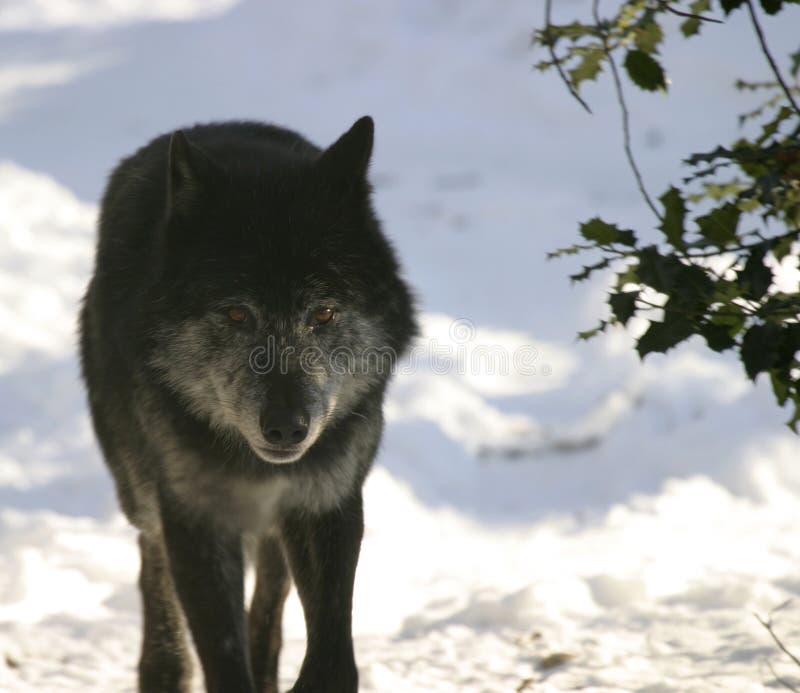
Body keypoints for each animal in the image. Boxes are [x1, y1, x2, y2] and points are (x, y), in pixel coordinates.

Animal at [79, 116, 416, 693]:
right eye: (237, 313)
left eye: (324, 313)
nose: (286, 428)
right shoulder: (197, 518)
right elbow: (221, 653)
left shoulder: (327, 502)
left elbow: (332, 659)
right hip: (142, 491)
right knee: (153, 561)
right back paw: (164, 669)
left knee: (270, 599)